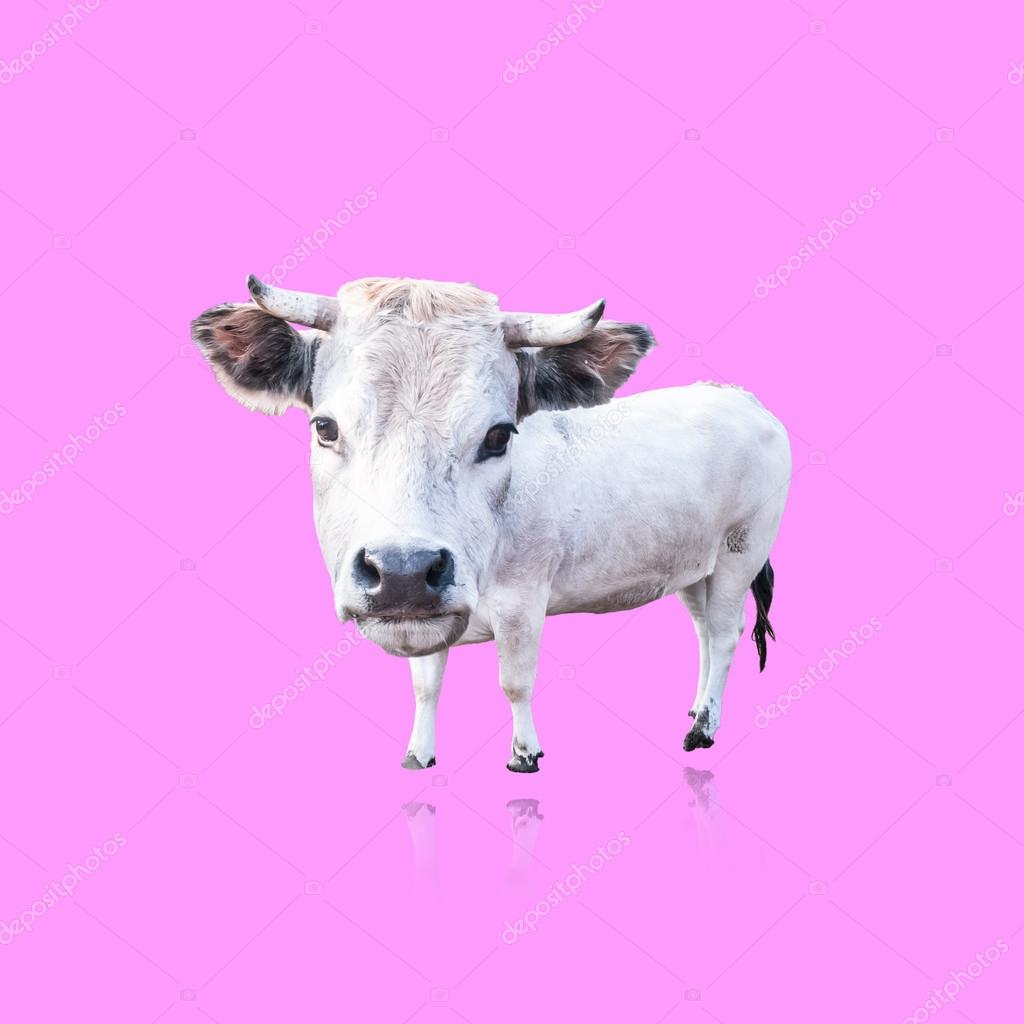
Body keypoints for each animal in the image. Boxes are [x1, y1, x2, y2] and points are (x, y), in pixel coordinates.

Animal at [192, 276, 791, 772]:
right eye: (325, 427)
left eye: (500, 434)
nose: (403, 571)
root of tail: (741, 399)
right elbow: (426, 685)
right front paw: (418, 754)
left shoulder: (524, 602)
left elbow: (514, 683)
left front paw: (525, 754)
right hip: (694, 564)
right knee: (702, 632)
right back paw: (696, 710)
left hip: (742, 551)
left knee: (724, 634)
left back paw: (704, 730)